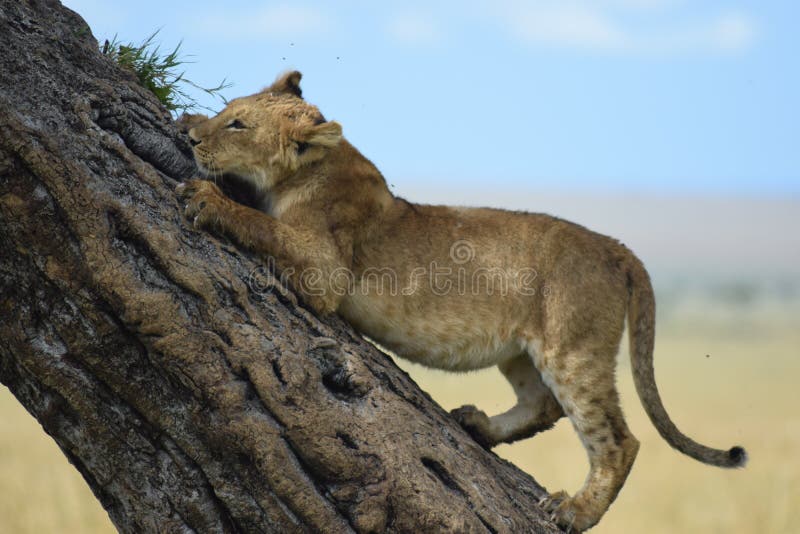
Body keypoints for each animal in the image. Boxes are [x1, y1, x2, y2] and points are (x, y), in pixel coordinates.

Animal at [176, 71, 746, 532]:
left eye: (237, 125)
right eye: (225, 109)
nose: (190, 136)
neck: (313, 169)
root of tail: (617, 246)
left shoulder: (326, 273)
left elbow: (262, 226)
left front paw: (206, 198)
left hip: (572, 347)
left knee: (617, 440)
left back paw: (574, 511)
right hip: (524, 348)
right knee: (542, 405)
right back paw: (478, 425)